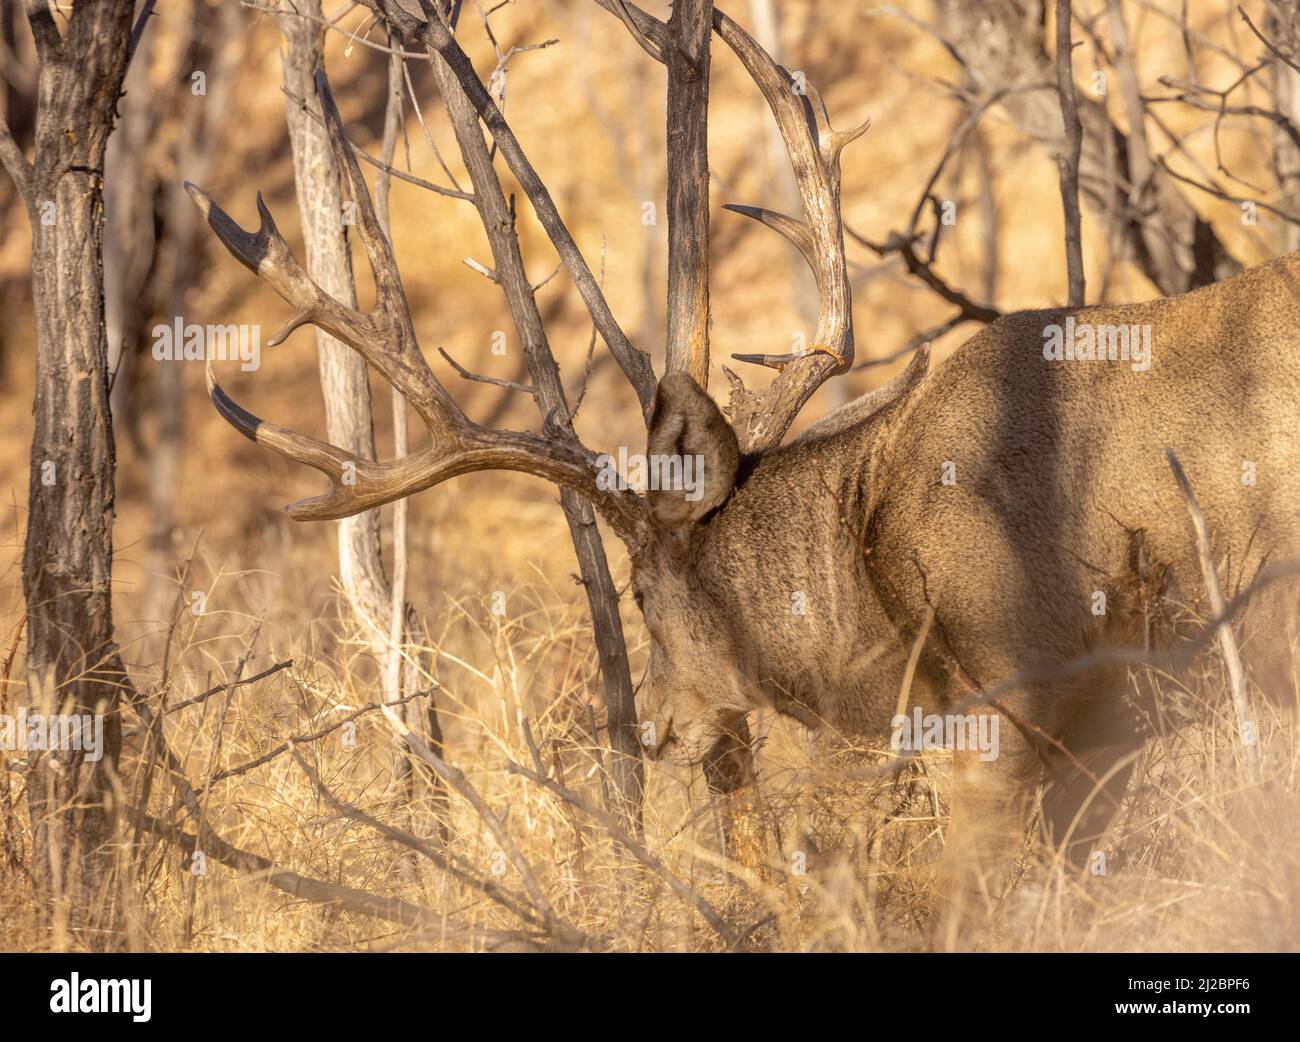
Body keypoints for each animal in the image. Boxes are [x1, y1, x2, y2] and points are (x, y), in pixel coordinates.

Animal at [189, 3, 1300, 935]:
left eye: (639, 591)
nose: (652, 732)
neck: (867, 550)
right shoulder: (1102, 732)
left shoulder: (1003, 687)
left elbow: (977, 907)